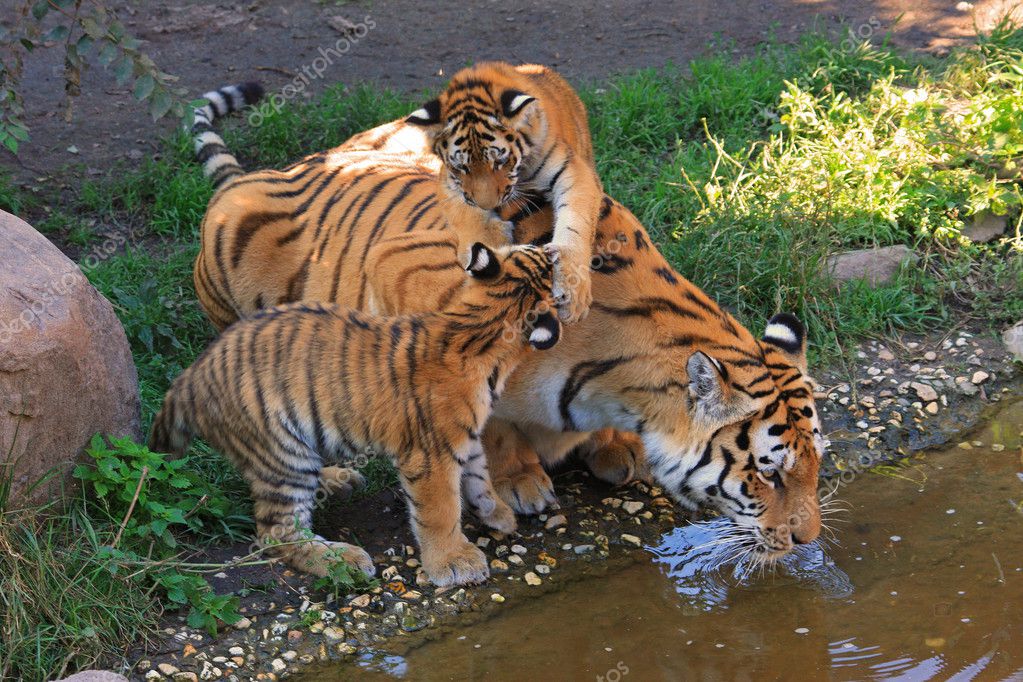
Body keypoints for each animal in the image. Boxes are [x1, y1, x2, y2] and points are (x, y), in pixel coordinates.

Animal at [151, 242, 563, 586]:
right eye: (548, 262)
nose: (554, 246)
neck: (480, 324)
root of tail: (195, 373)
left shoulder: (466, 436)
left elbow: (479, 477)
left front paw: (496, 512)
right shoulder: (431, 454)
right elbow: (440, 509)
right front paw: (453, 563)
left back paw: (337, 480)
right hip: (281, 450)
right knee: (276, 532)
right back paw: (341, 561)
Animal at [190, 84, 824, 560]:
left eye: (817, 466)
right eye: (769, 475)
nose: (808, 541)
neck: (619, 390)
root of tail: (256, 175)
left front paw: (612, 450)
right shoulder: (405, 268)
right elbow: (481, 409)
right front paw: (517, 478)